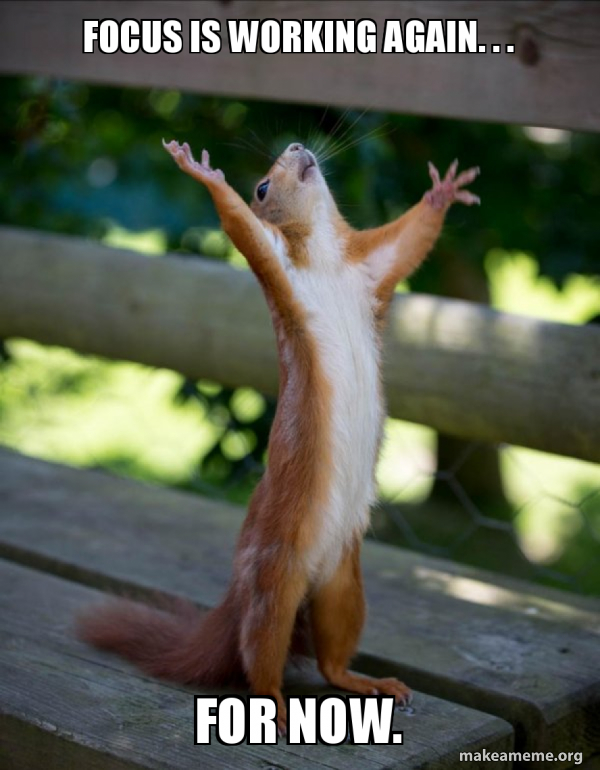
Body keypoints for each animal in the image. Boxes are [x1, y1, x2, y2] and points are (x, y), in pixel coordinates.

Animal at [77, 138, 479, 734]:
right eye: (262, 187)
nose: (296, 146)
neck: (327, 257)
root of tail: (239, 595)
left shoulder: (372, 267)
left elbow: (409, 241)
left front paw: (443, 192)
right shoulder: (277, 266)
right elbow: (241, 226)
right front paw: (204, 174)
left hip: (344, 585)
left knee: (332, 659)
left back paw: (368, 681)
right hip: (274, 582)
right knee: (259, 657)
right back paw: (280, 707)